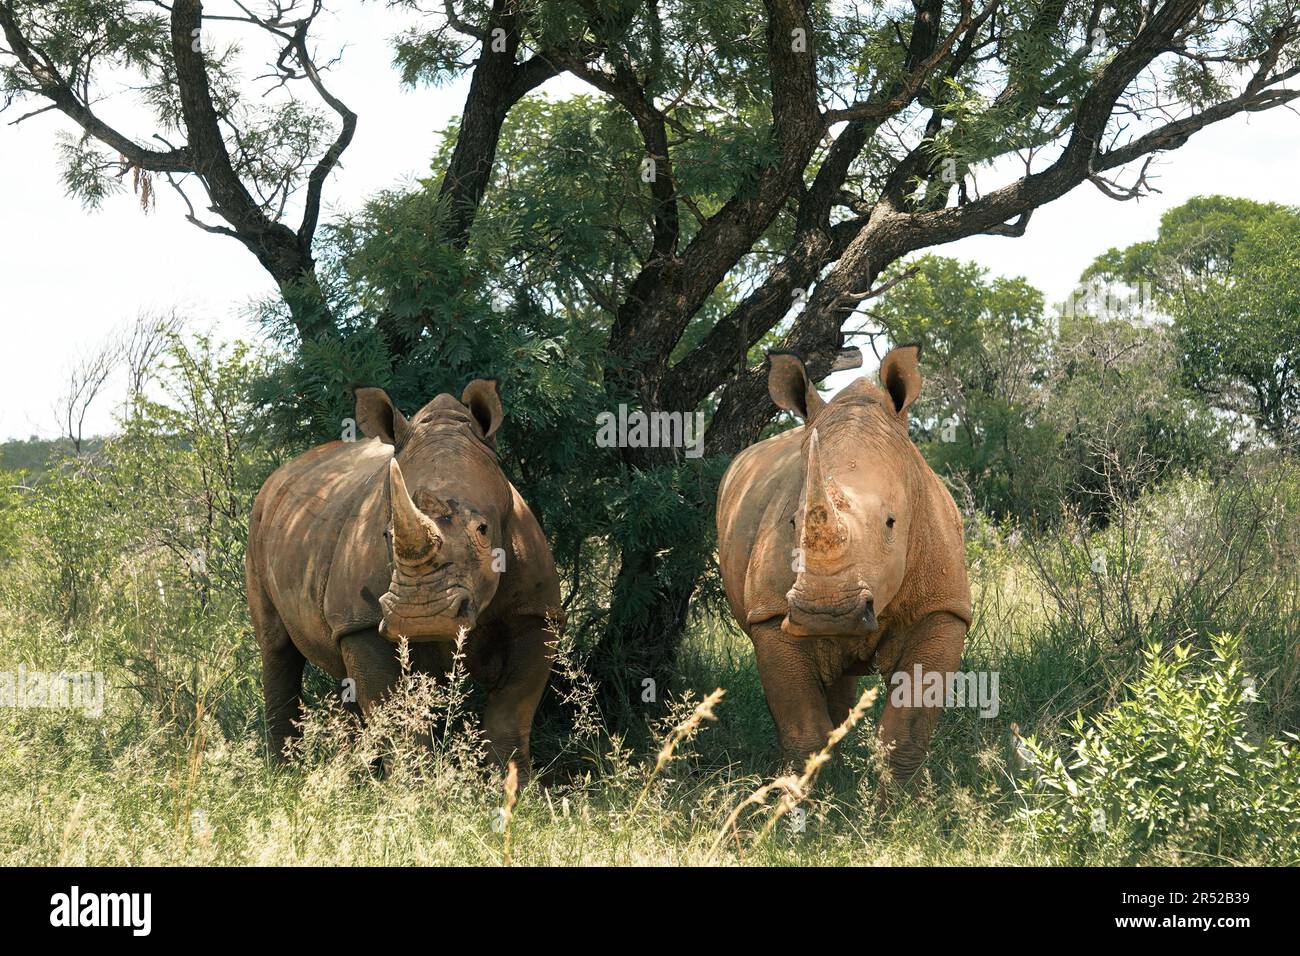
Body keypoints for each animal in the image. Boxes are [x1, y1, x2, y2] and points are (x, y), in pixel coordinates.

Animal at [245, 380, 562, 775]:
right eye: (386, 535)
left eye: (483, 530)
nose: (422, 615)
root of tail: (283, 473)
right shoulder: (362, 622)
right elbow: (397, 716)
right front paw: (415, 783)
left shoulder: (536, 612)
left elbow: (511, 712)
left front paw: (512, 782)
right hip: (259, 519)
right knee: (276, 646)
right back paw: (284, 774)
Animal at [716, 345, 971, 781]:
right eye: (793, 523)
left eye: (891, 522)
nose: (826, 613)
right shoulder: (770, 614)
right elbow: (803, 731)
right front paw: (805, 796)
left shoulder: (943, 608)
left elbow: (904, 733)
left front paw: (899, 801)